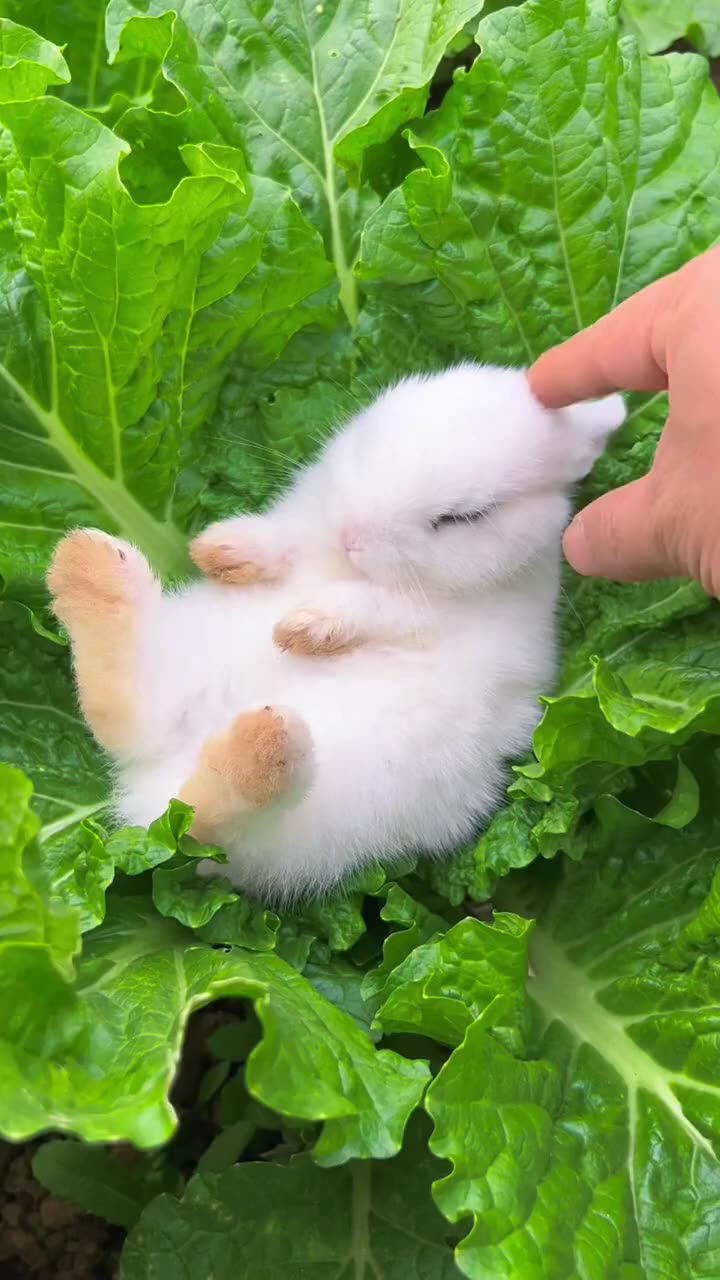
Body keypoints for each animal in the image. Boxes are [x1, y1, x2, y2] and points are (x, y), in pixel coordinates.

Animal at [47, 364, 625, 901]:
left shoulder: (438, 610)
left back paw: (263, 744)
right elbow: (282, 540)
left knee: (202, 825)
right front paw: (220, 550)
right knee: (126, 714)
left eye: (463, 518)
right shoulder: (303, 522)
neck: (344, 564)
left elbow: (378, 607)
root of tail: (145, 790)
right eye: (372, 436)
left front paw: (304, 627)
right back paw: (90, 570)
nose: (352, 533)